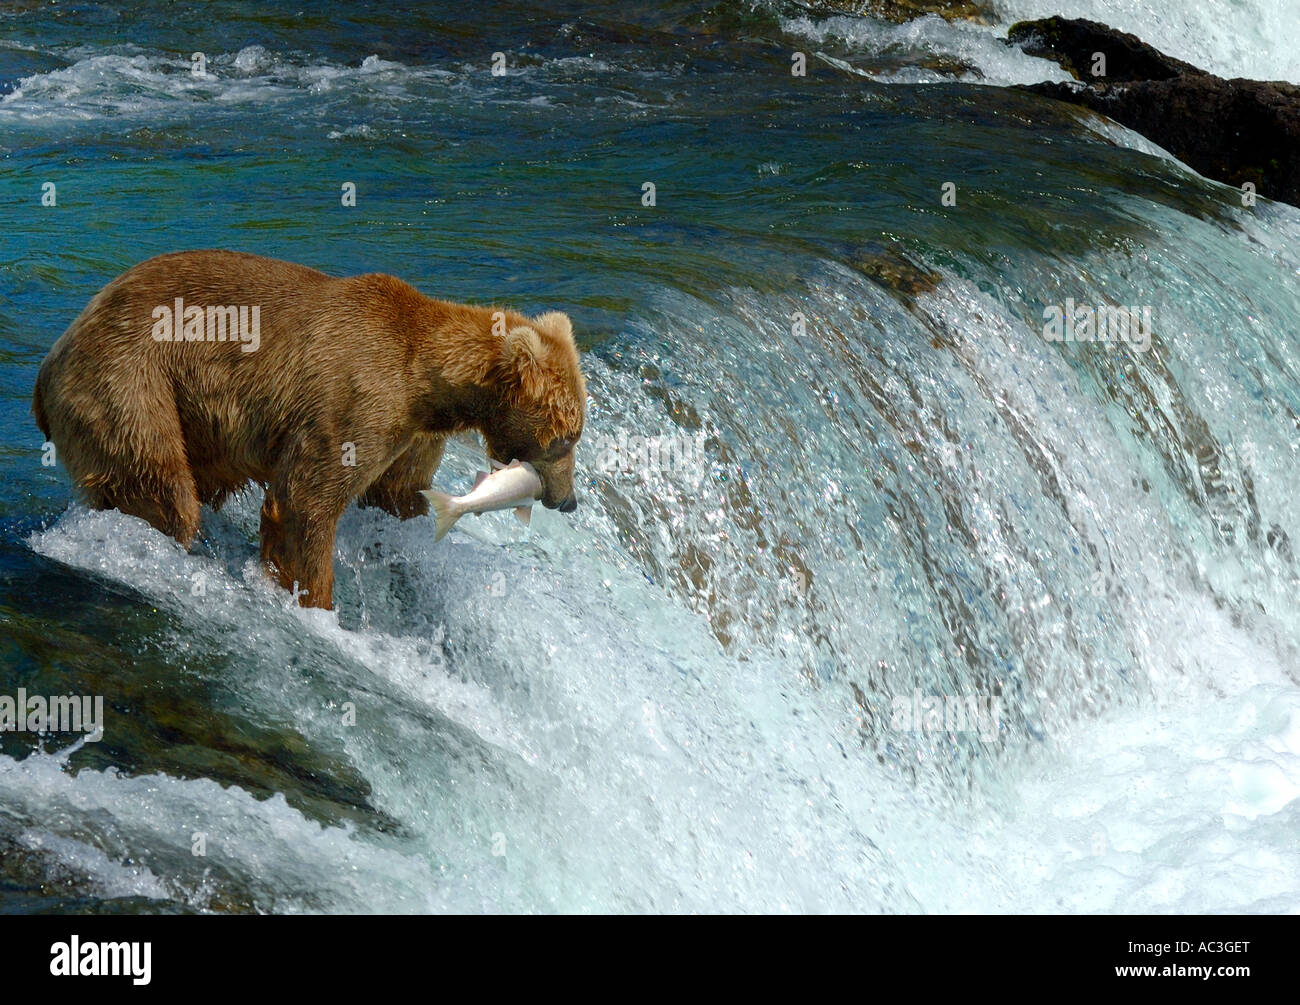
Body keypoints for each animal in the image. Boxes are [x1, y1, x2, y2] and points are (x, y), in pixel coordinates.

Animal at [32, 249, 586, 609]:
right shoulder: (356, 398)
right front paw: (316, 603)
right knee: (163, 489)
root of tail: (50, 360)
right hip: (130, 380)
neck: (428, 387)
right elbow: (305, 503)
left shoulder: (412, 436)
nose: (568, 500)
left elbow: (397, 495)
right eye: (566, 438)